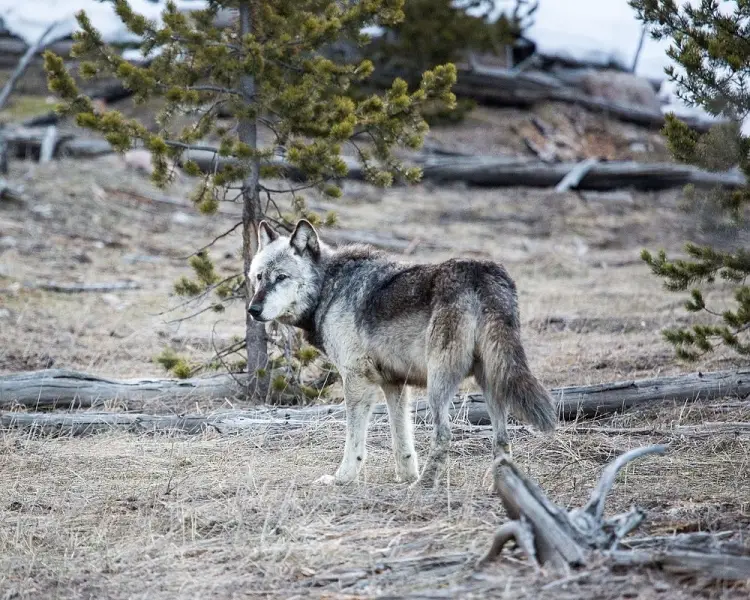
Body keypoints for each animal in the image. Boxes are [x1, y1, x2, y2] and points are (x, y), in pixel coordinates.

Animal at [248, 219, 557, 489]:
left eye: (281, 278)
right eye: (259, 277)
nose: (252, 310)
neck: (329, 288)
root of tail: (482, 273)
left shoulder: (357, 379)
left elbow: (354, 440)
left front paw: (342, 479)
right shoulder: (394, 383)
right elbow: (401, 439)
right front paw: (406, 475)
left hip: (439, 385)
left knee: (445, 434)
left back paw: (423, 487)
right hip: (492, 381)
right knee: (501, 440)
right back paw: (501, 489)